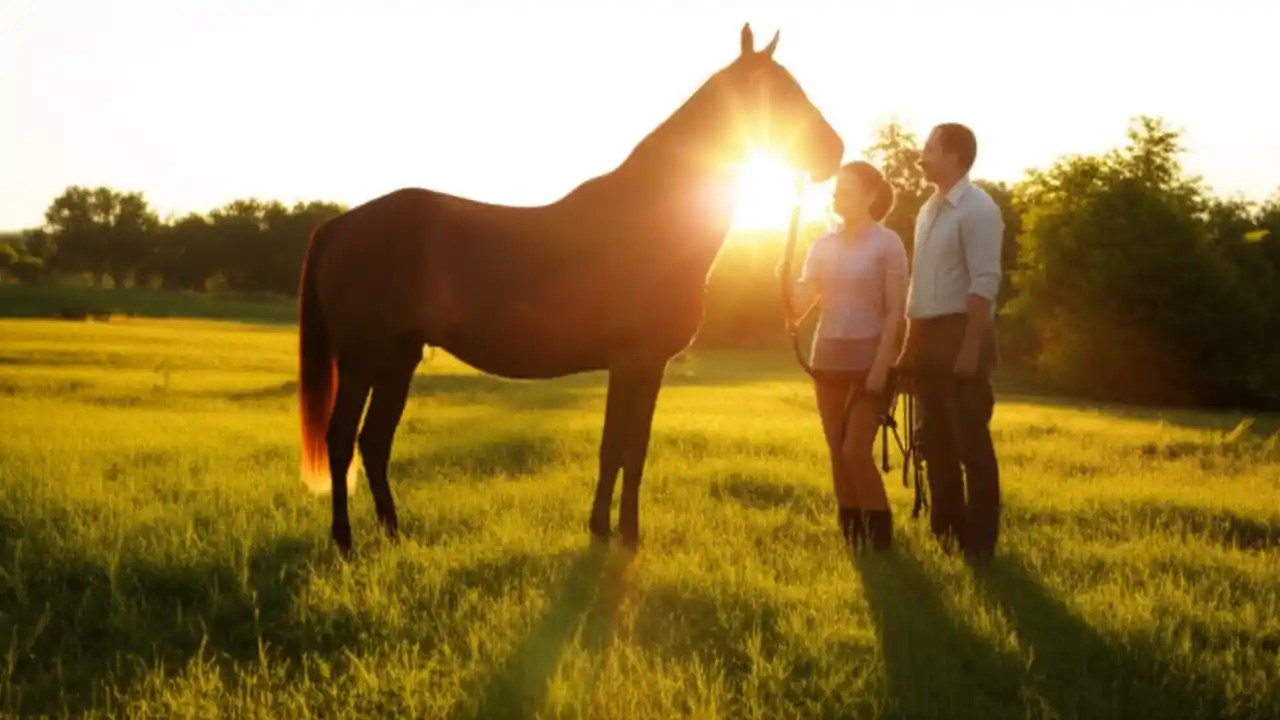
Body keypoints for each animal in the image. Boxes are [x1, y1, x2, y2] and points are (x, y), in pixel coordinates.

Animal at [297, 24, 844, 556]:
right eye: (779, 93)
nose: (834, 152)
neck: (650, 224)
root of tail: (341, 225)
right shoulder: (634, 361)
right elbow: (619, 449)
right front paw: (620, 534)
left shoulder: (644, 368)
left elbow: (627, 450)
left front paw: (610, 530)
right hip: (362, 358)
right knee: (342, 439)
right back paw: (345, 541)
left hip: (399, 358)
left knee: (375, 441)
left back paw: (394, 534)